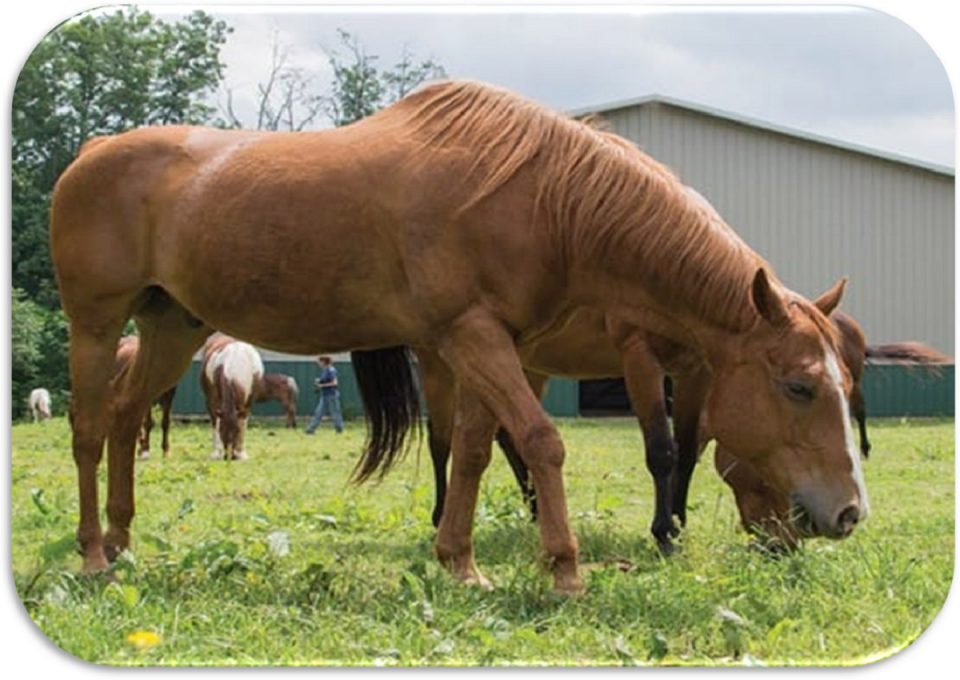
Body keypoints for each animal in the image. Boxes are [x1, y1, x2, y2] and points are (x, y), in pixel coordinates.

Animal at [51, 80, 864, 593]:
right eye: (798, 386)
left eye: (846, 384)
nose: (850, 512)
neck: (543, 196)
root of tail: (90, 153)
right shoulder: (476, 336)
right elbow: (539, 441)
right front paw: (564, 569)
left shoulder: (485, 342)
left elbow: (474, 451)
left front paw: (461, 564)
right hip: (95, 324)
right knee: (89, 428)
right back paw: (92, 554)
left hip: (170, 326)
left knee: (125, 417)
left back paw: (123, 541)